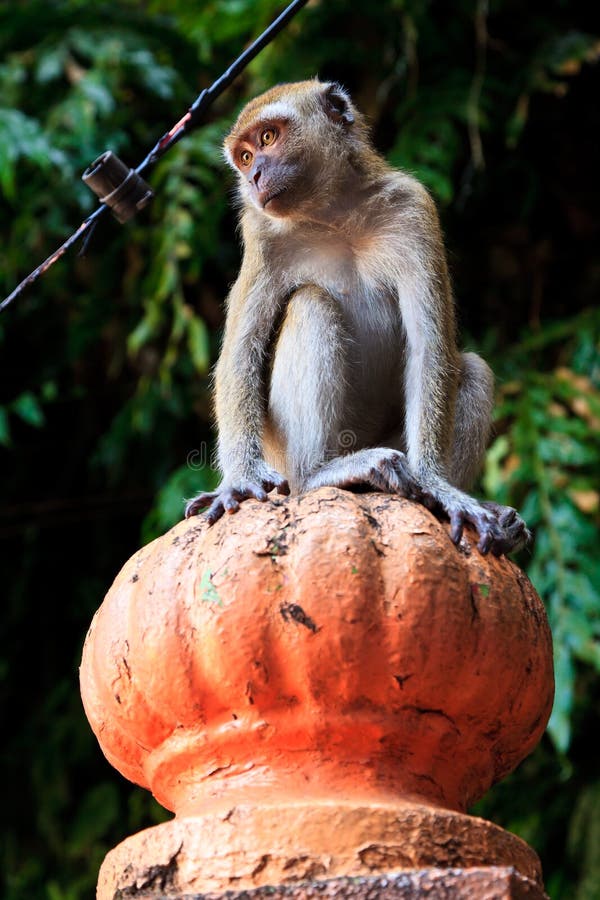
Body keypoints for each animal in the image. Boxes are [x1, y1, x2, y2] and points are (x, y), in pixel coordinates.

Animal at [185, 79, 529, 556]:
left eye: (268, 138)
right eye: (246, 157)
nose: (253, 178)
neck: (333, 213)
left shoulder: (412, 209)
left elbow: (430, 348)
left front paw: (437, 485)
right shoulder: (261, 236)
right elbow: (241, 355)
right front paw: (239, 480)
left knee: (472, 368)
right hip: (285, 457)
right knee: (311, 304)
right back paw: (321, 474)